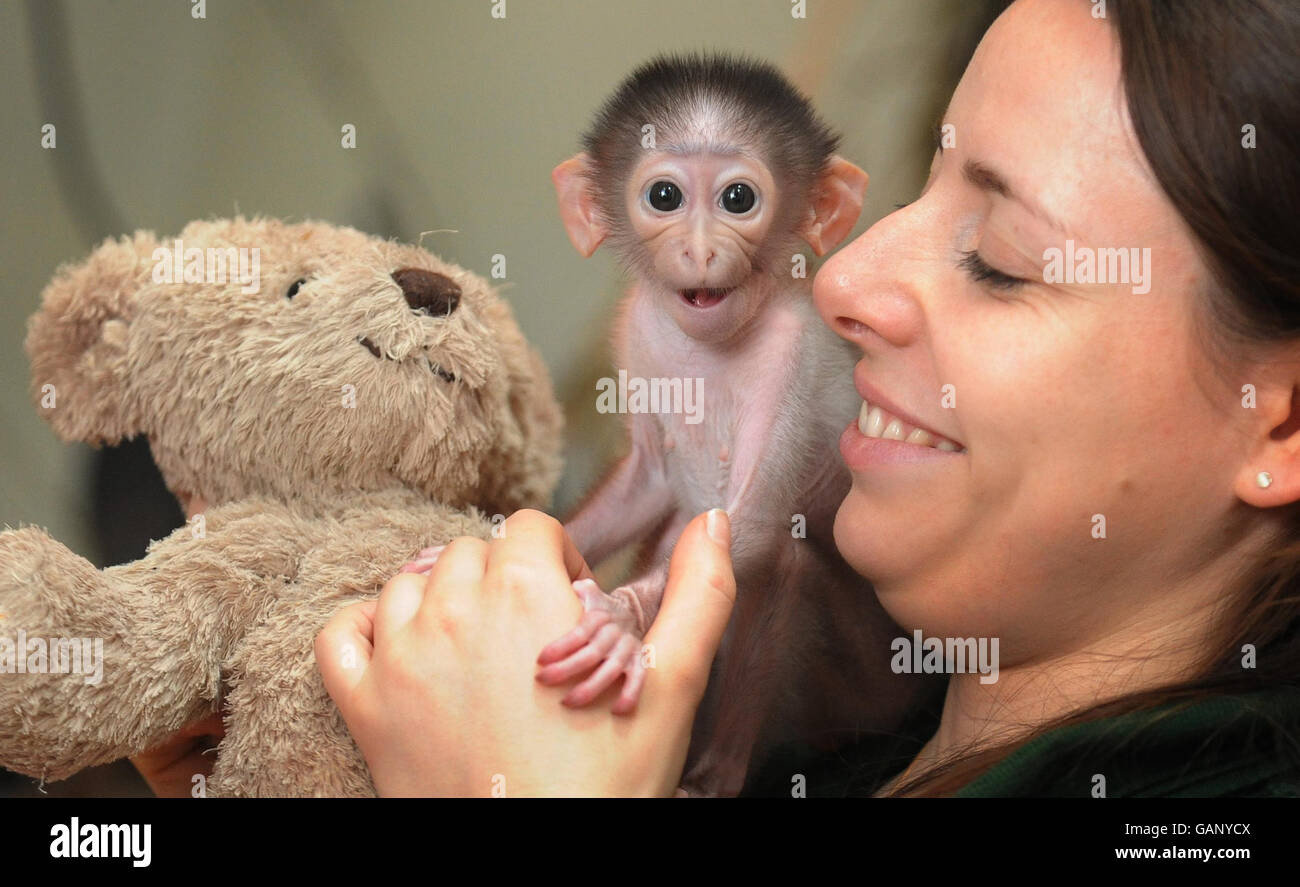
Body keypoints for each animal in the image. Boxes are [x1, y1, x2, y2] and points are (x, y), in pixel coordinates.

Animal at [405, 53, 925, 796]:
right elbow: (646, 483)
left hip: (866, 690)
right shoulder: (637, 329)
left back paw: (714, 773)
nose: (701, 252)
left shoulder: (792, 352)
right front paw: (482, 540)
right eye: (665, 197)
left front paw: (621, 616)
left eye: (738, 199)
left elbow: (753, 528)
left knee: (786, 563)